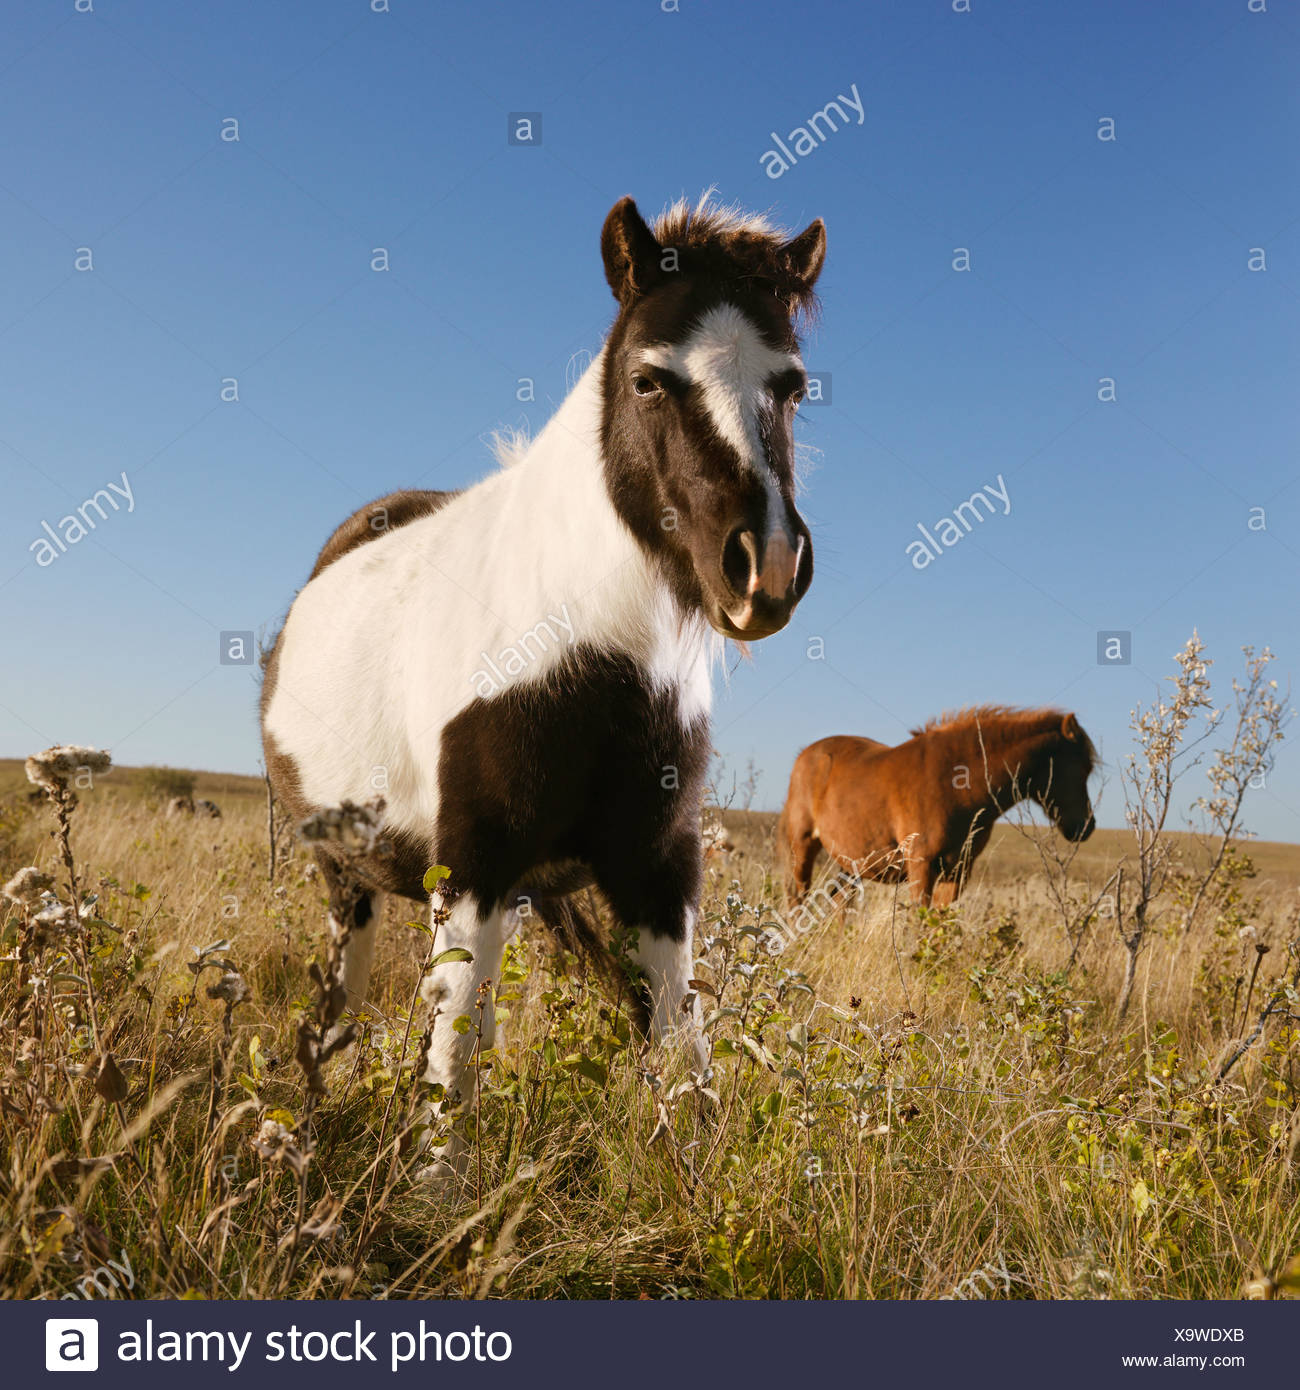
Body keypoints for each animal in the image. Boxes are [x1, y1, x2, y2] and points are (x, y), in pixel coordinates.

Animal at [261, 193, 825, 1179]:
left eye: (791, 385)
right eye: (648, 380)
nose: (766, 567)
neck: (596, 648)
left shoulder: (657, 865)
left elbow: (681, 1053)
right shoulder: (473, 864)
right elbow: (450, 1066)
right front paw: (436, 1193)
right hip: (347, 880)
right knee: (336, 1019)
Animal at [779, 706, 1097, 909]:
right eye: (1082, 768)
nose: (1086, 826)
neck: (957, 784)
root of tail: (805, 755)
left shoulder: (958, 872)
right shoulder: (921, 866)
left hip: (851, 860)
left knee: (839, 900)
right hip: (803, 846)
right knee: (798, 897)